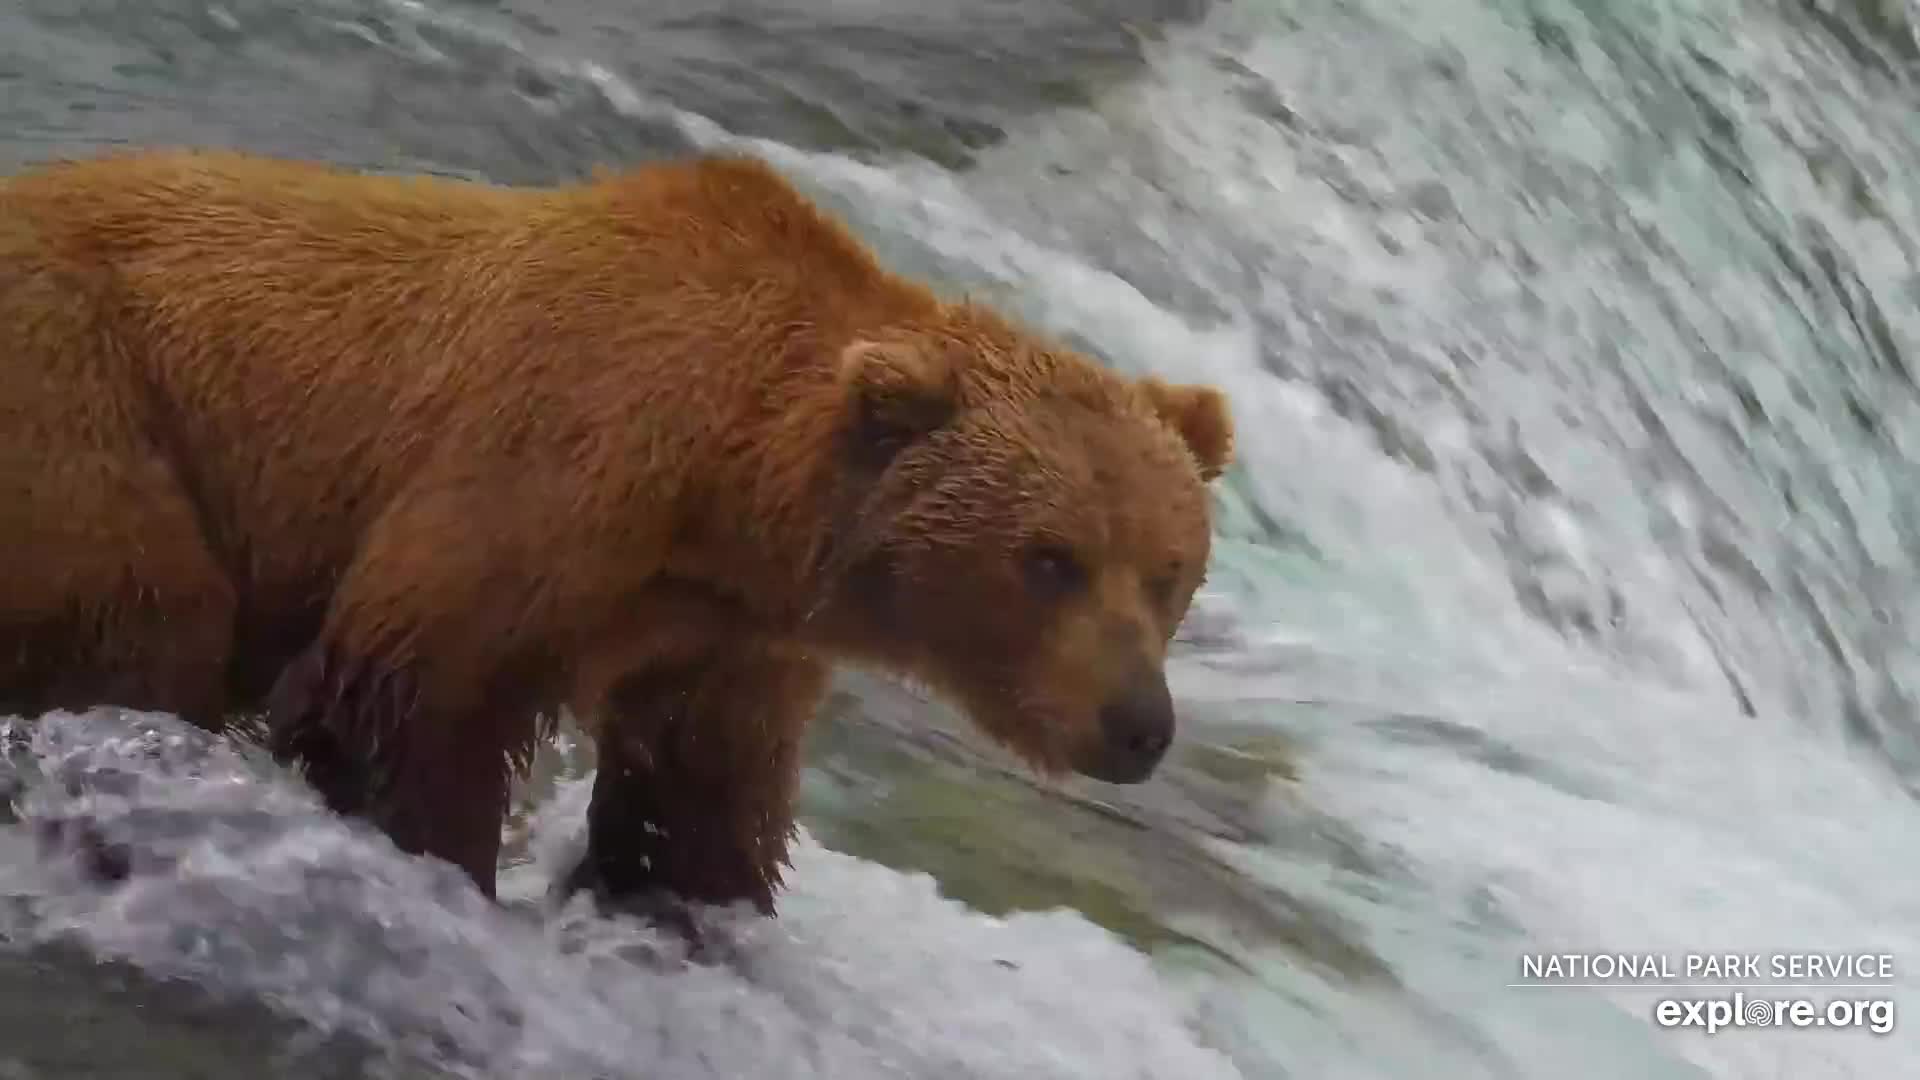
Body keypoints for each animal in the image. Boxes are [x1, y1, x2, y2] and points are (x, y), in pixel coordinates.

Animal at [0, 148, 1233, 919]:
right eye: (1050, 559)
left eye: (1170, 573)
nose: (1139, 725)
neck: (728, 488)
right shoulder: (548, 470)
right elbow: (411, 687)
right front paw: (445, 863)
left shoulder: (723, 637)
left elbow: (702, 792)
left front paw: (686, 903)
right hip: (85, 403)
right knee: (151, 614)